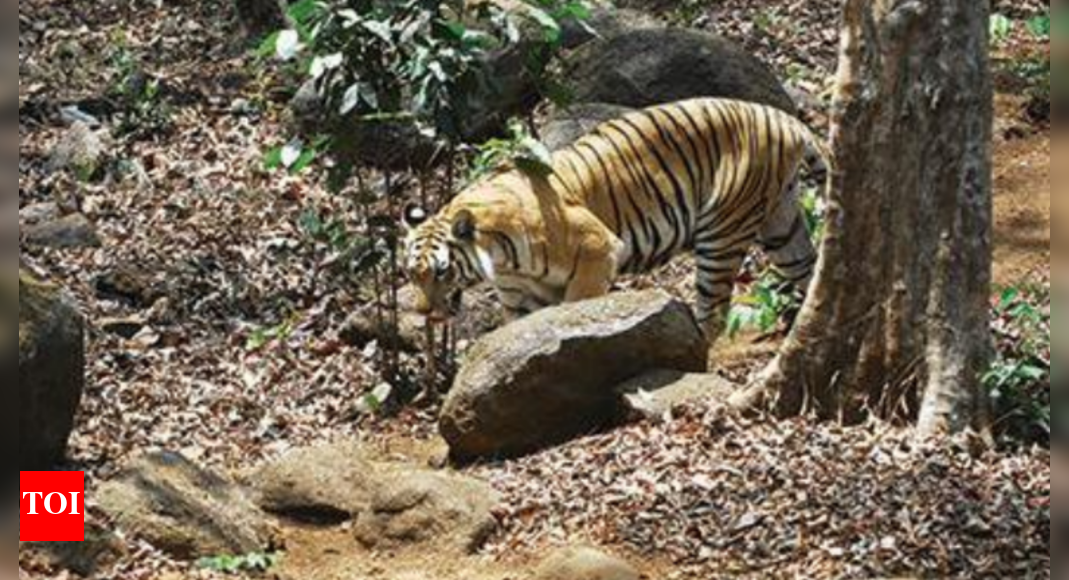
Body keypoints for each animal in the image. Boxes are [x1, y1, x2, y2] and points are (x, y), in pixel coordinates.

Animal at [402, 97, 831, 342]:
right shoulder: (522, 298)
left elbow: (575, 309)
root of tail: (781, 117)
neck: (501, 261)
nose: (423, 313)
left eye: (442, 271)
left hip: (722, 231)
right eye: (410, 274)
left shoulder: (597, 250)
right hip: (782, 224)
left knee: (714, 311)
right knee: (811, 271)